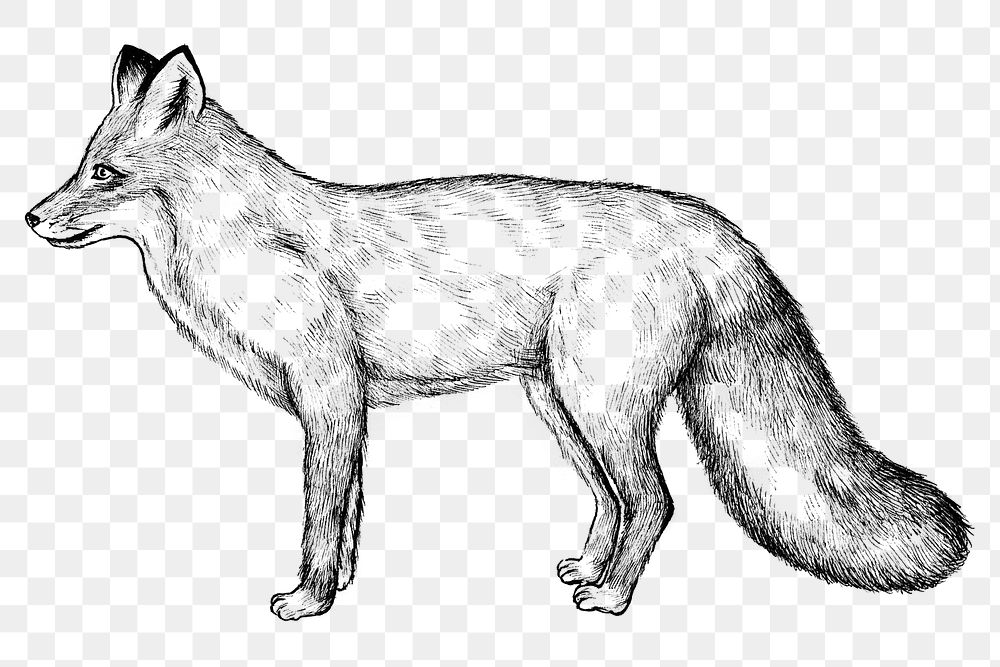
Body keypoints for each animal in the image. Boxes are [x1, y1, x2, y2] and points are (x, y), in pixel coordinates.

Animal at [26, 45, 970, 620]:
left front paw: (309, 602)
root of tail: (711, 225)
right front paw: (342, 592)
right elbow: (350, 519)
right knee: (614, 500)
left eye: (103, 172)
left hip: (599, 401)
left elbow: (319, 518)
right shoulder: (350, 412)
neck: (243, 242)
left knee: (656, 500)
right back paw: (589, 570)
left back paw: (613, 600)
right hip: (560, 404)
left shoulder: (329, 397)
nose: (32, 216)